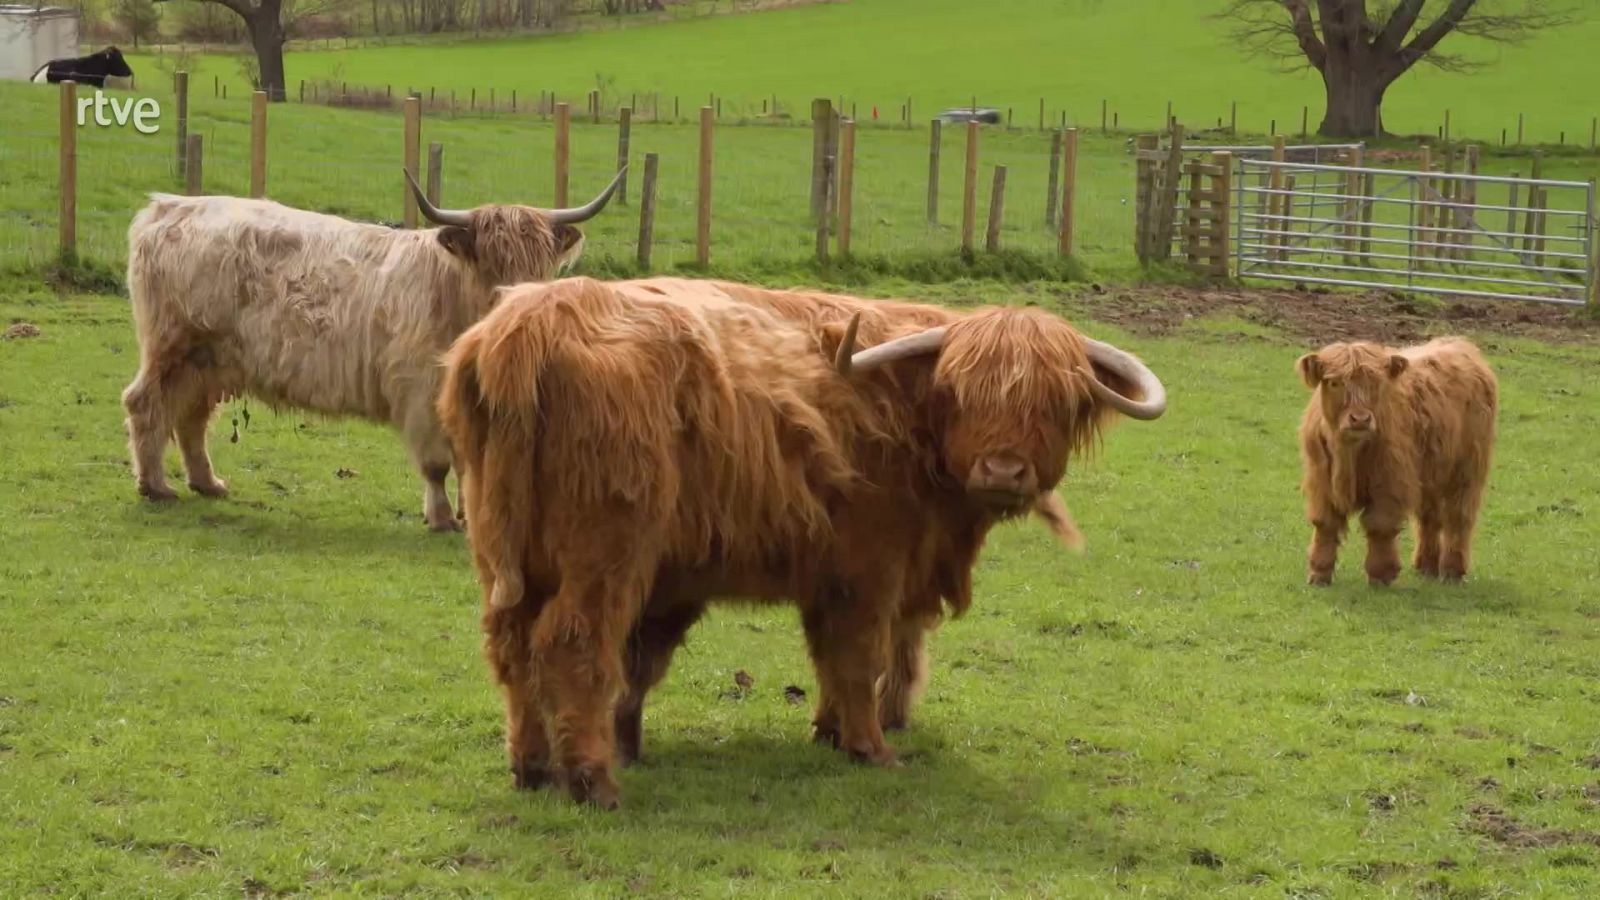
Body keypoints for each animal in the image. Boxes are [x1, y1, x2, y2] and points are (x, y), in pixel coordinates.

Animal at [121, 168, 623, 529]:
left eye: (542, 260)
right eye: (490, 260)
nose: (519, 300)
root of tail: (168, 207)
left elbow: (470, 465)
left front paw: (469, 515)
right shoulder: (422, 393)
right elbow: (438, 464)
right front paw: (442, 518)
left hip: (211, 359)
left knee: (190, 417)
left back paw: (207, 484)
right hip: (174, 347)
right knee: (146, 404)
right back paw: (156, 487)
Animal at [438, 276, 1166, 808]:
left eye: (1057, 401)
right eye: (961, 391)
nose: (1004, 471)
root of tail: (534, 323)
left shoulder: (842, 577)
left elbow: (837, 661)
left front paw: (829, 730)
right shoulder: (868, 568)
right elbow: (862, 656)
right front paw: (871, 747)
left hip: (506, 554)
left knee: (510, 645)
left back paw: (532, 768)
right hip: (605, 553)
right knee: (573, 644)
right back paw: (593, 783)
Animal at [1296, 337, 1497, 587]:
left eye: (1376, 383)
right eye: (1334, 383)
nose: (1360, 419)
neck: (1349, 452)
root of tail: (1459, 343)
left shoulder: (1389, 483)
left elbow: (1379, 526)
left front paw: (1381, 574)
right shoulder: (1321, 482)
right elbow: (1325, 523)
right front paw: (1319, 573)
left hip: (1467, 469)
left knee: (1458, 517)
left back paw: (1452, 570)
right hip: (1430, 474)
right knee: (1430, 518)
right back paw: (1426, 566)